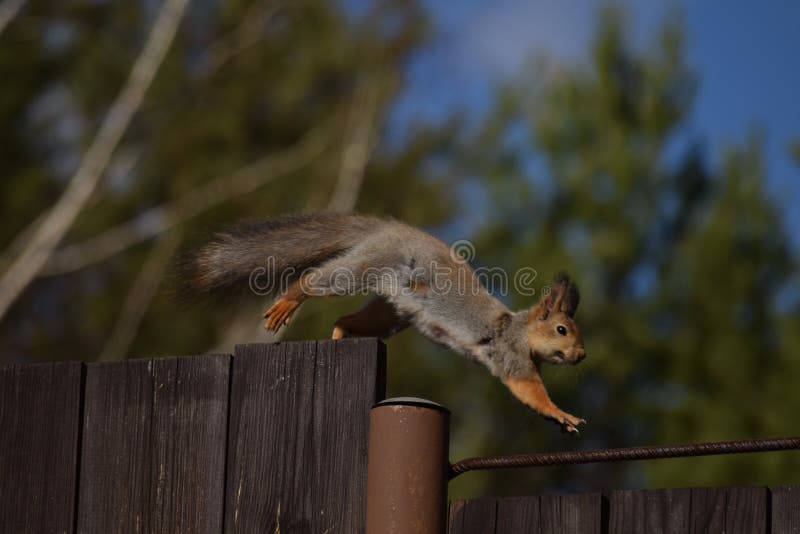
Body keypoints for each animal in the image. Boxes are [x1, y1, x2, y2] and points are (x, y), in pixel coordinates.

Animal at [182, 213, 587, 434]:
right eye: (562, 330)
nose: (581, 356)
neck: (517, 329)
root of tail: (388, 231)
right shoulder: (510, 356)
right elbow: (528, 390)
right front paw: (561, 412)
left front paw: (560, 419)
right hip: (359, 272)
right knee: (314, 281)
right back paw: (289, 301)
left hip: (390, 313)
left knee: (349, 318)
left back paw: (340, 334)